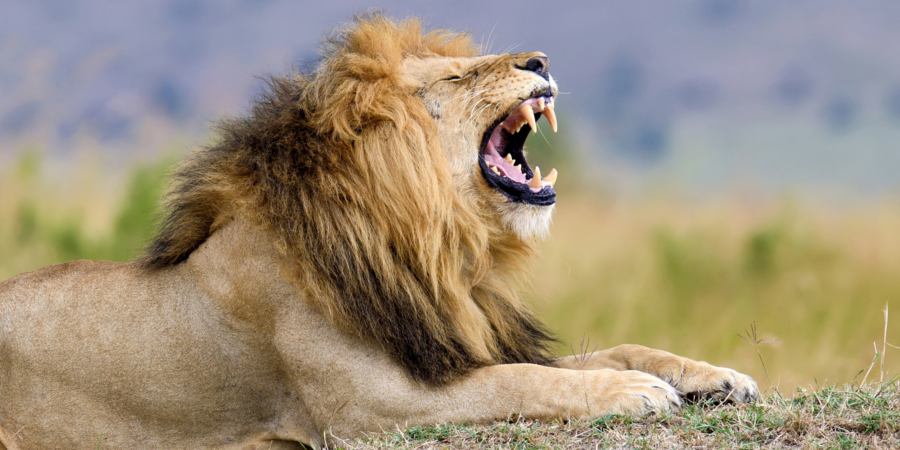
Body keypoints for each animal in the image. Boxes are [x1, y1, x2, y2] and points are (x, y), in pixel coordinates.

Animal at [0, 15, 758, 449]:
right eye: (458, 76)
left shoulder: (450, 343)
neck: (440, 248)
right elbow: (521, 383)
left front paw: (712, 376)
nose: (540, 61)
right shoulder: (370, 406)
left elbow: (605, 352)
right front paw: (633, 393)